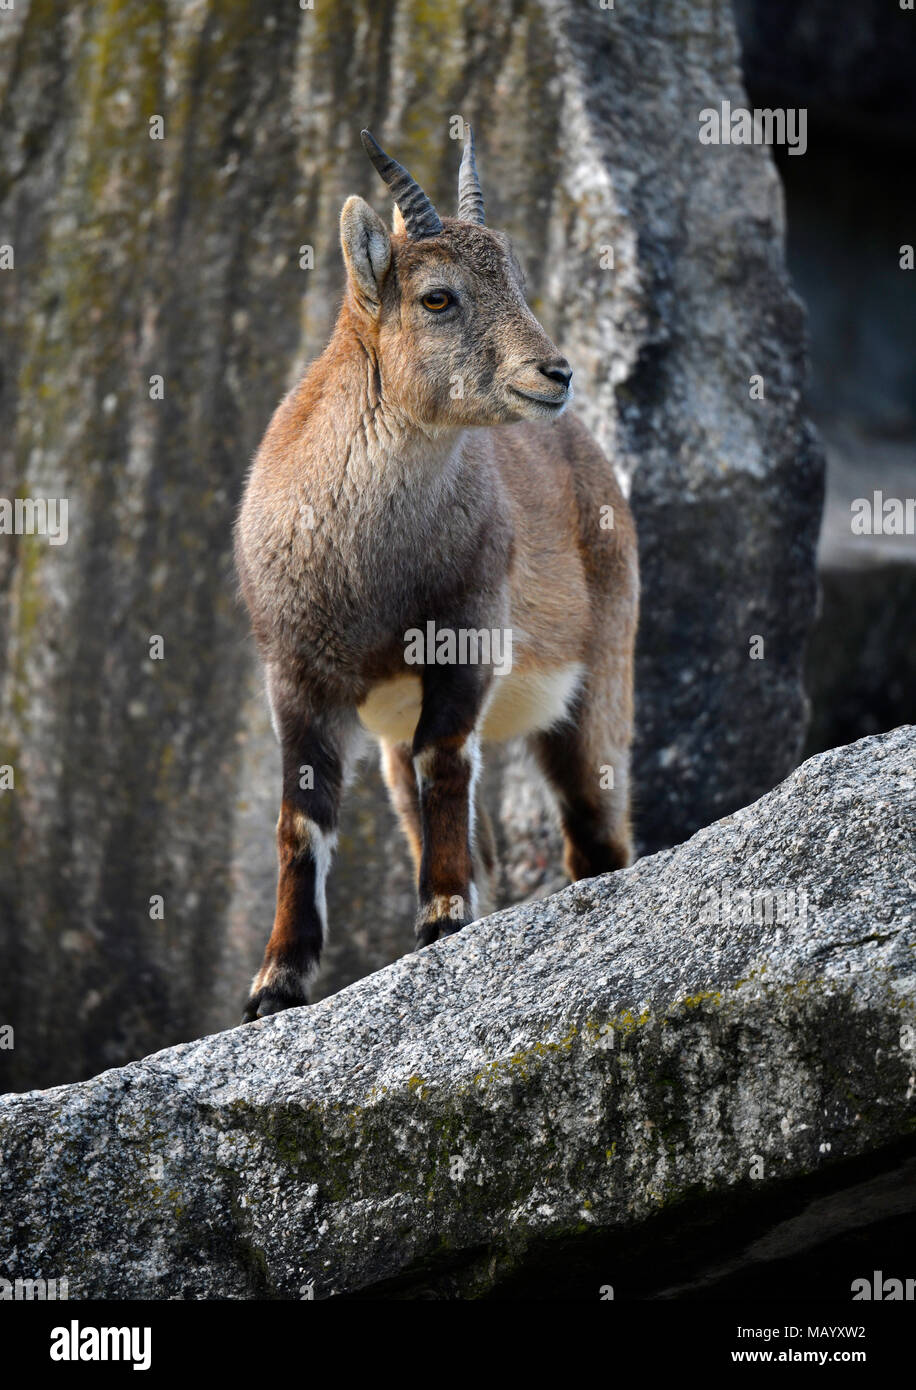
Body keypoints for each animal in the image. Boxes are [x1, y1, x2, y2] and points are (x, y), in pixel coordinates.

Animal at [235, 126, 639, 1020]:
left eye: (515, 279)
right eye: (438, 298)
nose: (556, 373)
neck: (366, 573)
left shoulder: (465, 636)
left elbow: (445, 761)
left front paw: (445, 917)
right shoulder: (293, 676)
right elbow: (300, 818)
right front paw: (276, 981)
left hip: (598, 687)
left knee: (598, 833)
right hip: (388, 739)